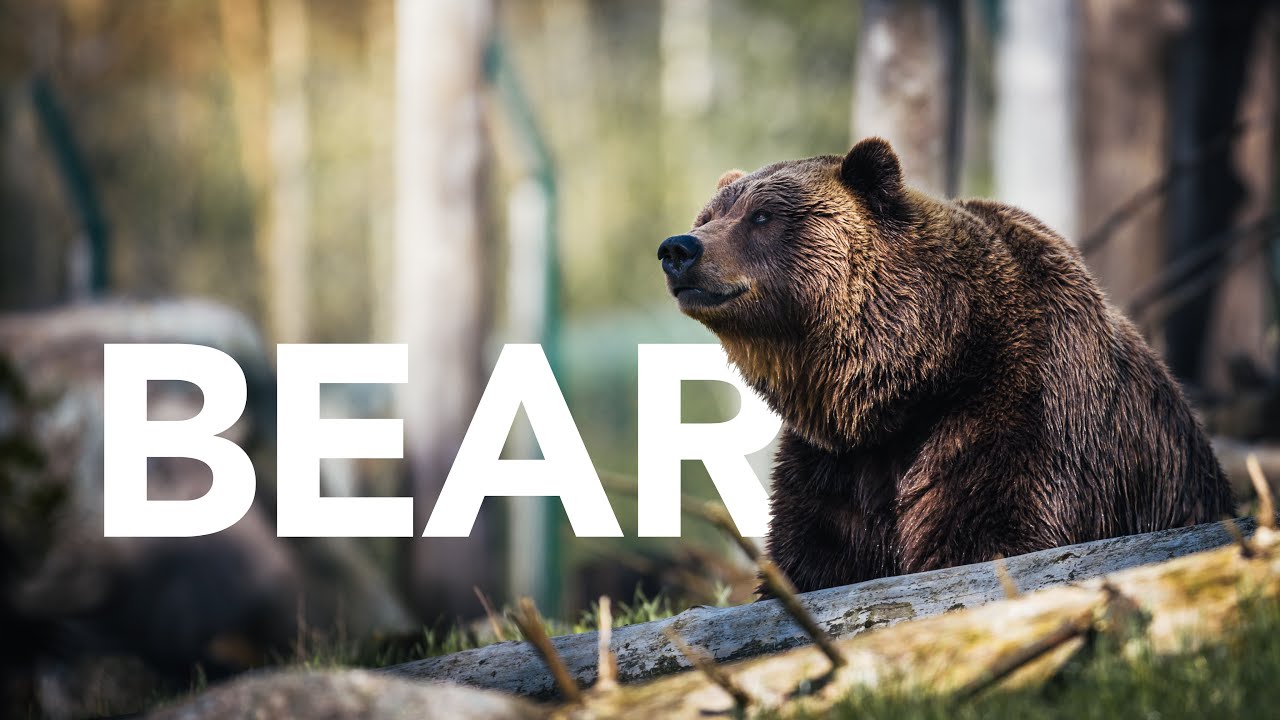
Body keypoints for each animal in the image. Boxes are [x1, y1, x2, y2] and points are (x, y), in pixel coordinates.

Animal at [657, 137, 1235, 593]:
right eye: (709, 217)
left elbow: (989, 534)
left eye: (762, 216)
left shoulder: (1021, 411)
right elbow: (814, 557)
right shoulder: (835, 464)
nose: (678, 248)